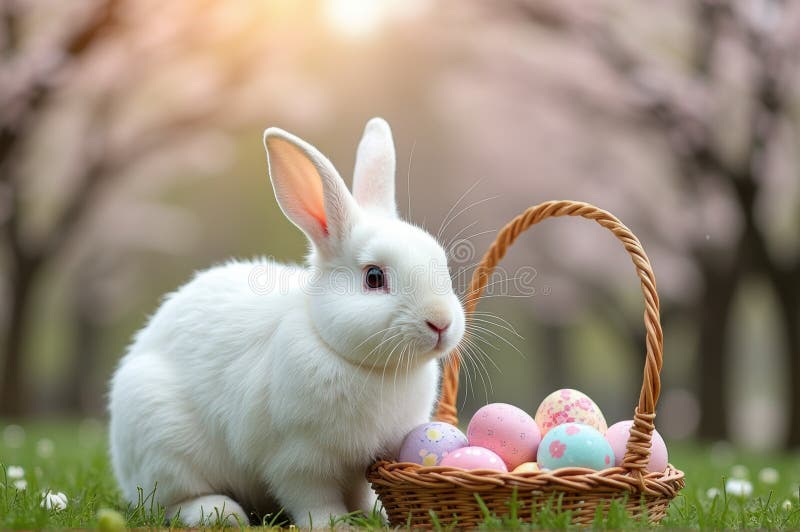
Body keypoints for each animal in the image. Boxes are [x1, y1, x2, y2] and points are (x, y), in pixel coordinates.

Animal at [108, 117, 466, 527]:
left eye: (442, 264)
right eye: (374, 277)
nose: (440, 322)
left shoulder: (367, 459)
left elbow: (362, 491)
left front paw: (374, 515)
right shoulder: (298, 458)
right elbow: (313, 498)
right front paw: (333, 525)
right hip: (162, 442)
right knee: (168, 502)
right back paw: (221, 513)